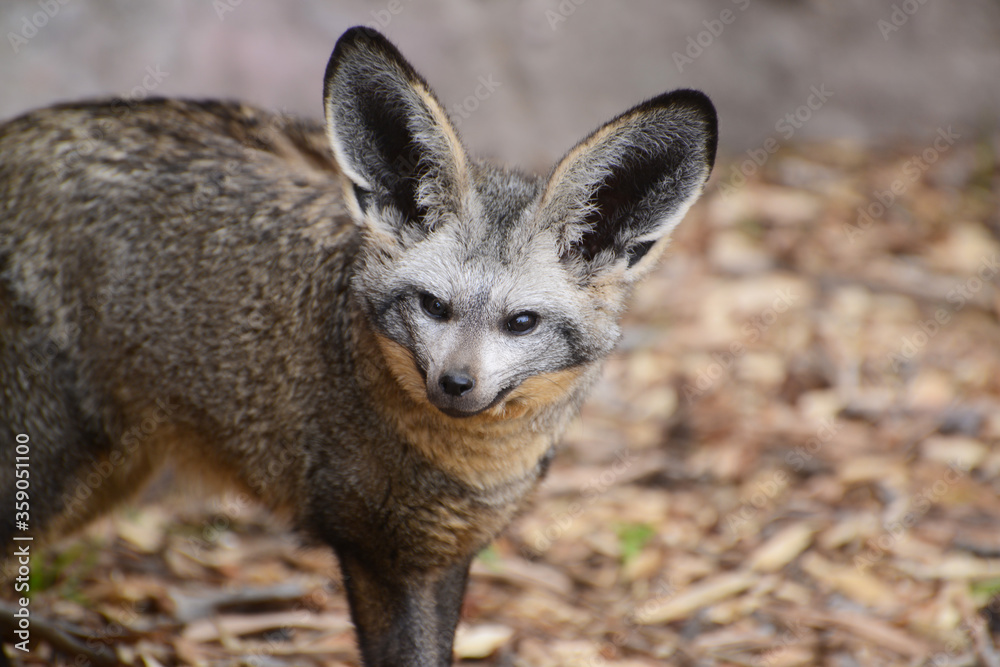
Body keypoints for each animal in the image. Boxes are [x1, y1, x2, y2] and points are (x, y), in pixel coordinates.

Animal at [0, 26, 717, 666]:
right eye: (433, 306)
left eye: (522, 322)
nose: (455, 385)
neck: (468, 469)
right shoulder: (379, 554)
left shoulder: (442, 556)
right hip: (53, 468)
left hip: (109, 471)